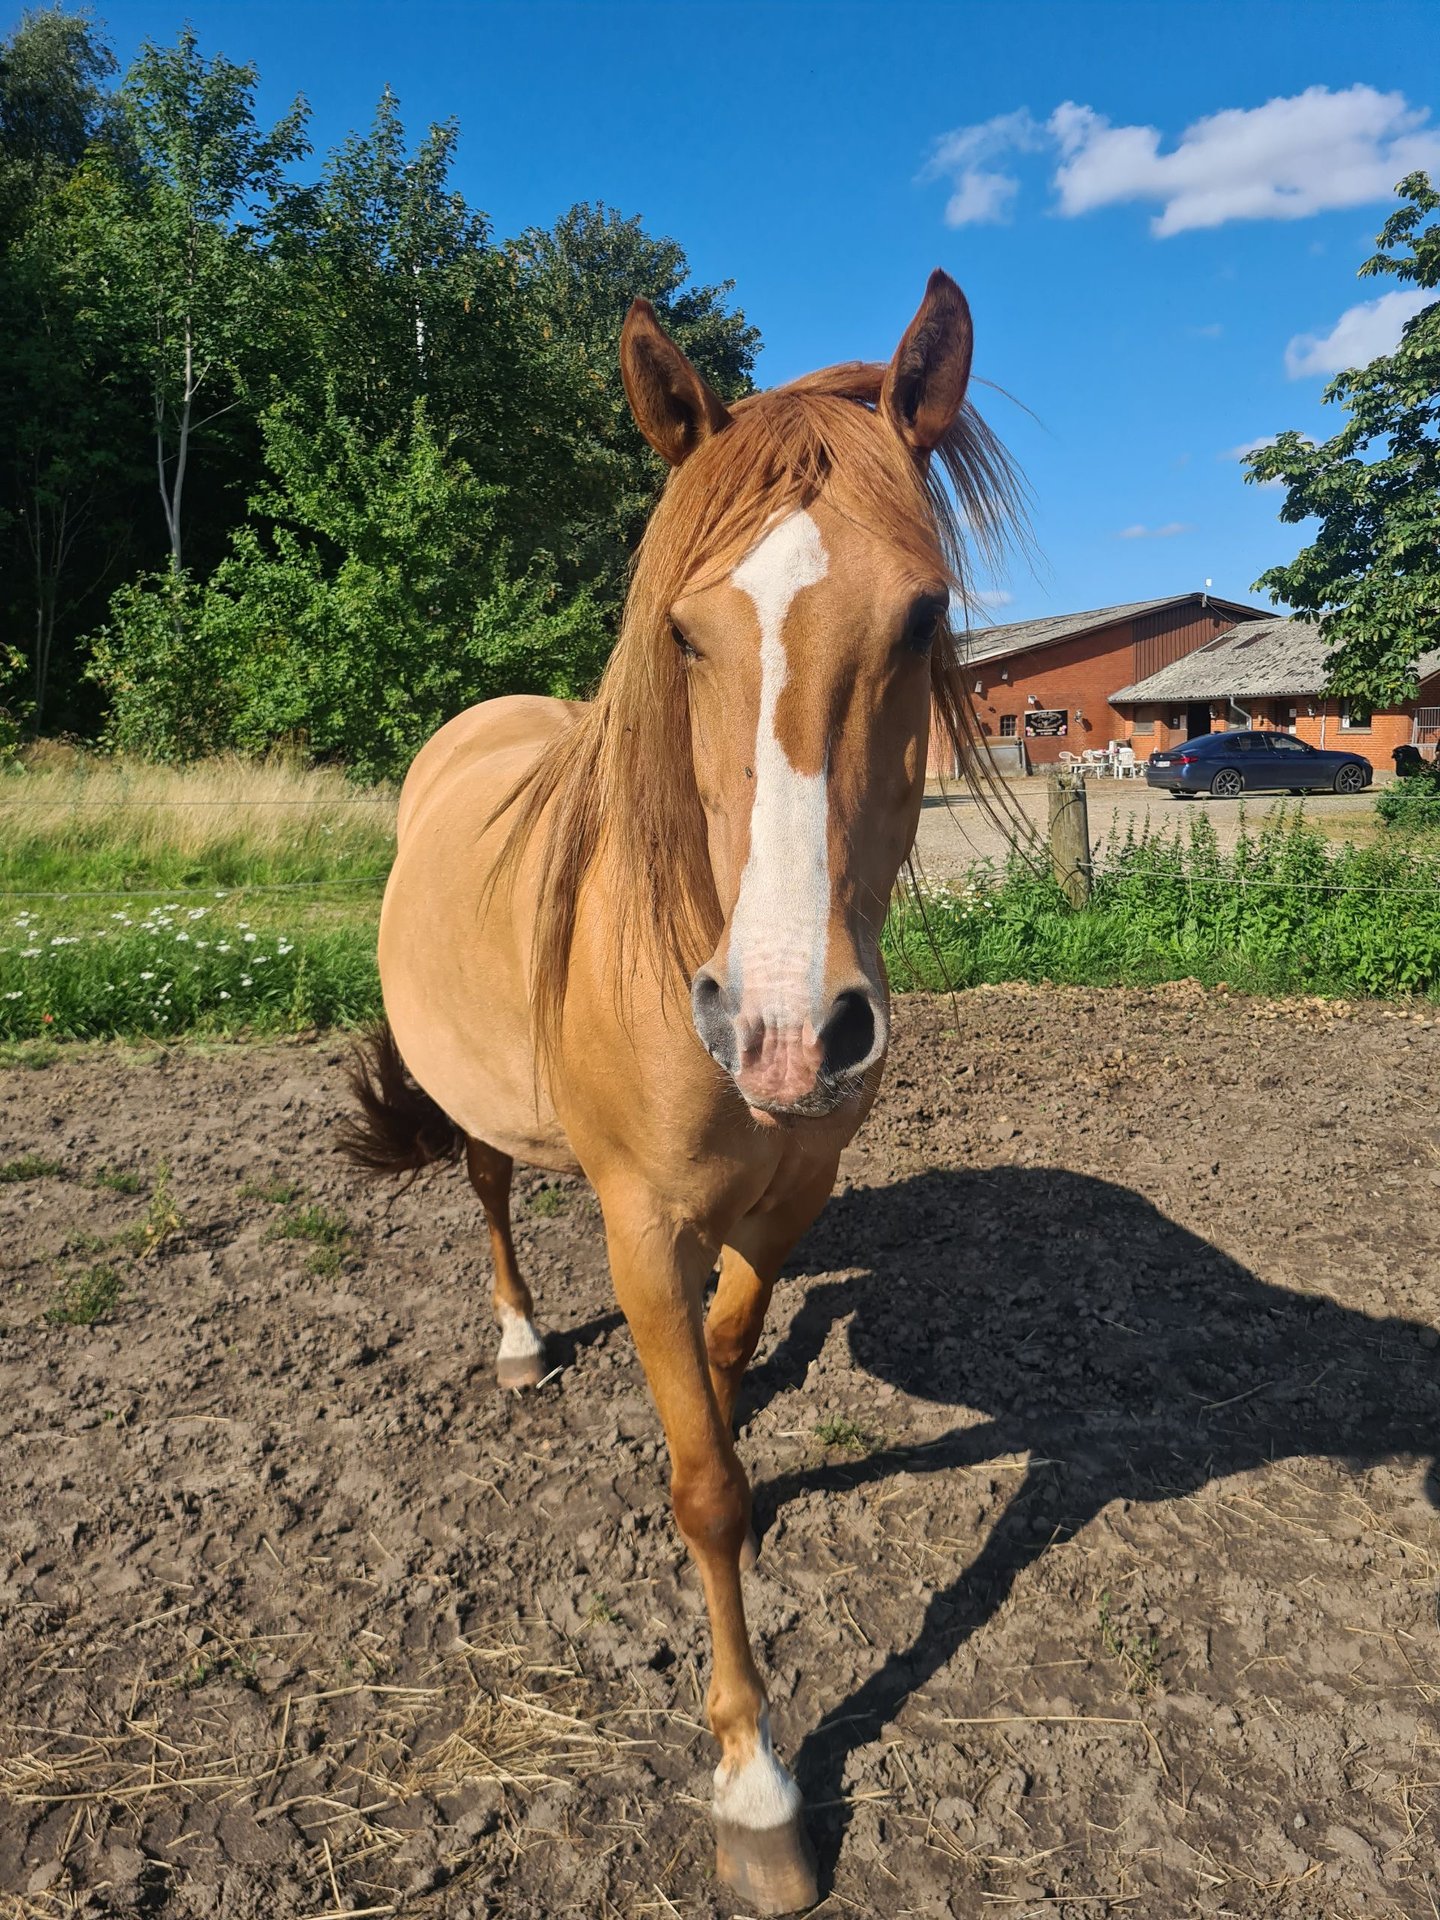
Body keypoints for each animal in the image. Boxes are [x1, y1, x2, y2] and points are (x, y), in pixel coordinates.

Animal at [340, 270, 1019, 1914]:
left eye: (921, 616)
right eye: (685, 634)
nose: (784, 1031)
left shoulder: (790, 1199)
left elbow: (725, 1358)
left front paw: (731, 1387)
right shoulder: (642, 1224)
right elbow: (704, 1488)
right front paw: (757, 1787)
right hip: (486, 1117)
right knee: (490, 1194)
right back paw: (522, 1340)